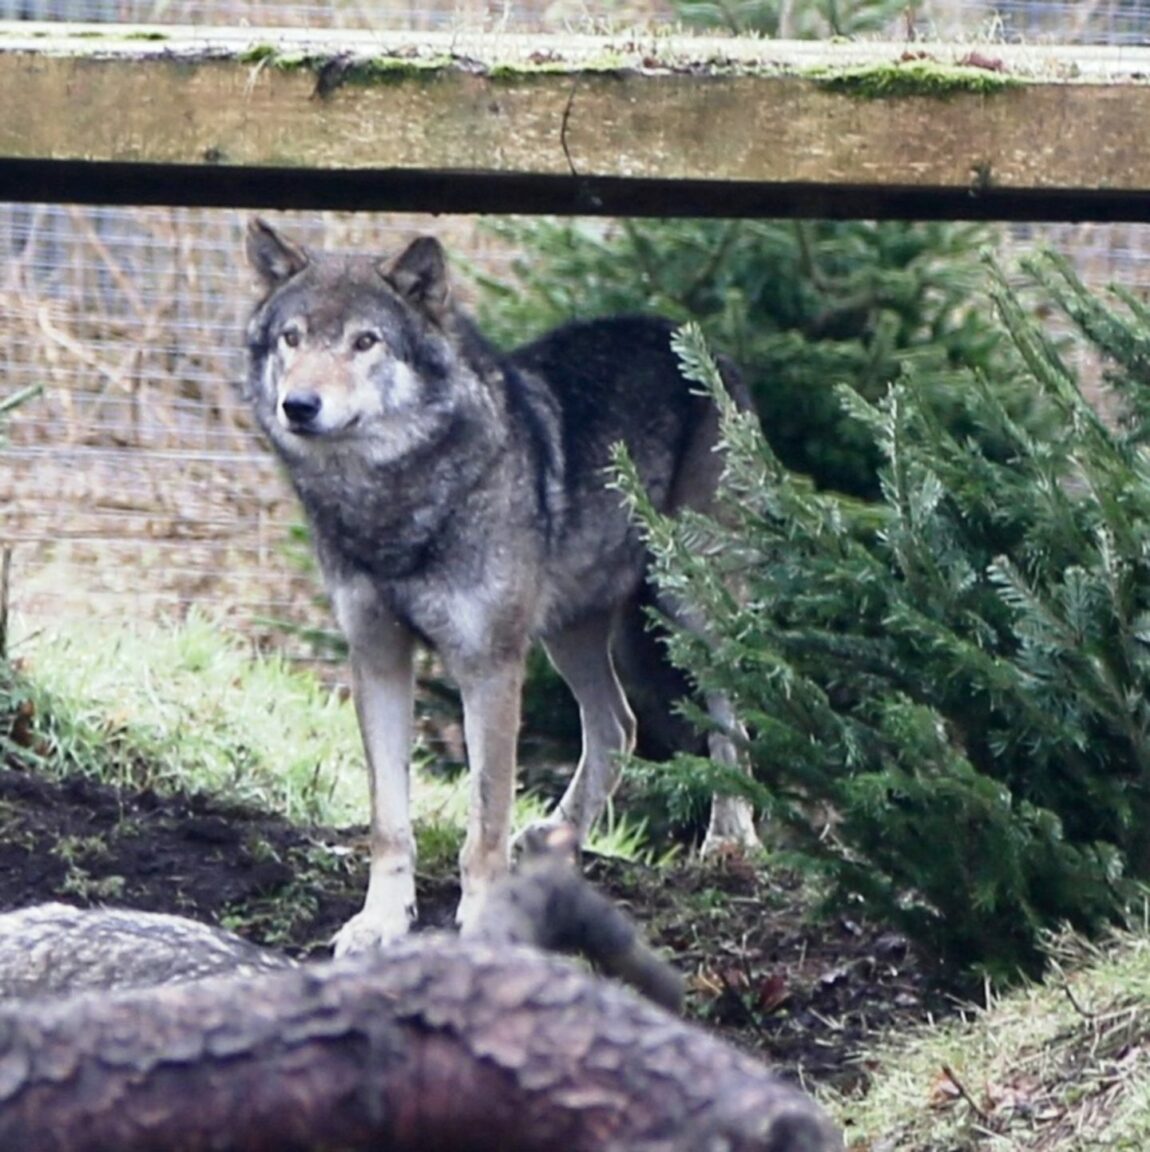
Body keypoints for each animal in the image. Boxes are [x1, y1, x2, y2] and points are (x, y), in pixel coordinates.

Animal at [244, 220, 759, 954]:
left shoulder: (487, 663)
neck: (396, 503)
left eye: (366, 342)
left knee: (729, 713)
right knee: (619, 726)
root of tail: (700, 342)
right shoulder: (377, 656)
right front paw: (380, 921)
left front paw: (485, 918)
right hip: (568, 633)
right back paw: (555, 836)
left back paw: (729, 841)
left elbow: (485, 817)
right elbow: (388, 821)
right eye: (293, 337)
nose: (299, 405)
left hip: (689, 605)